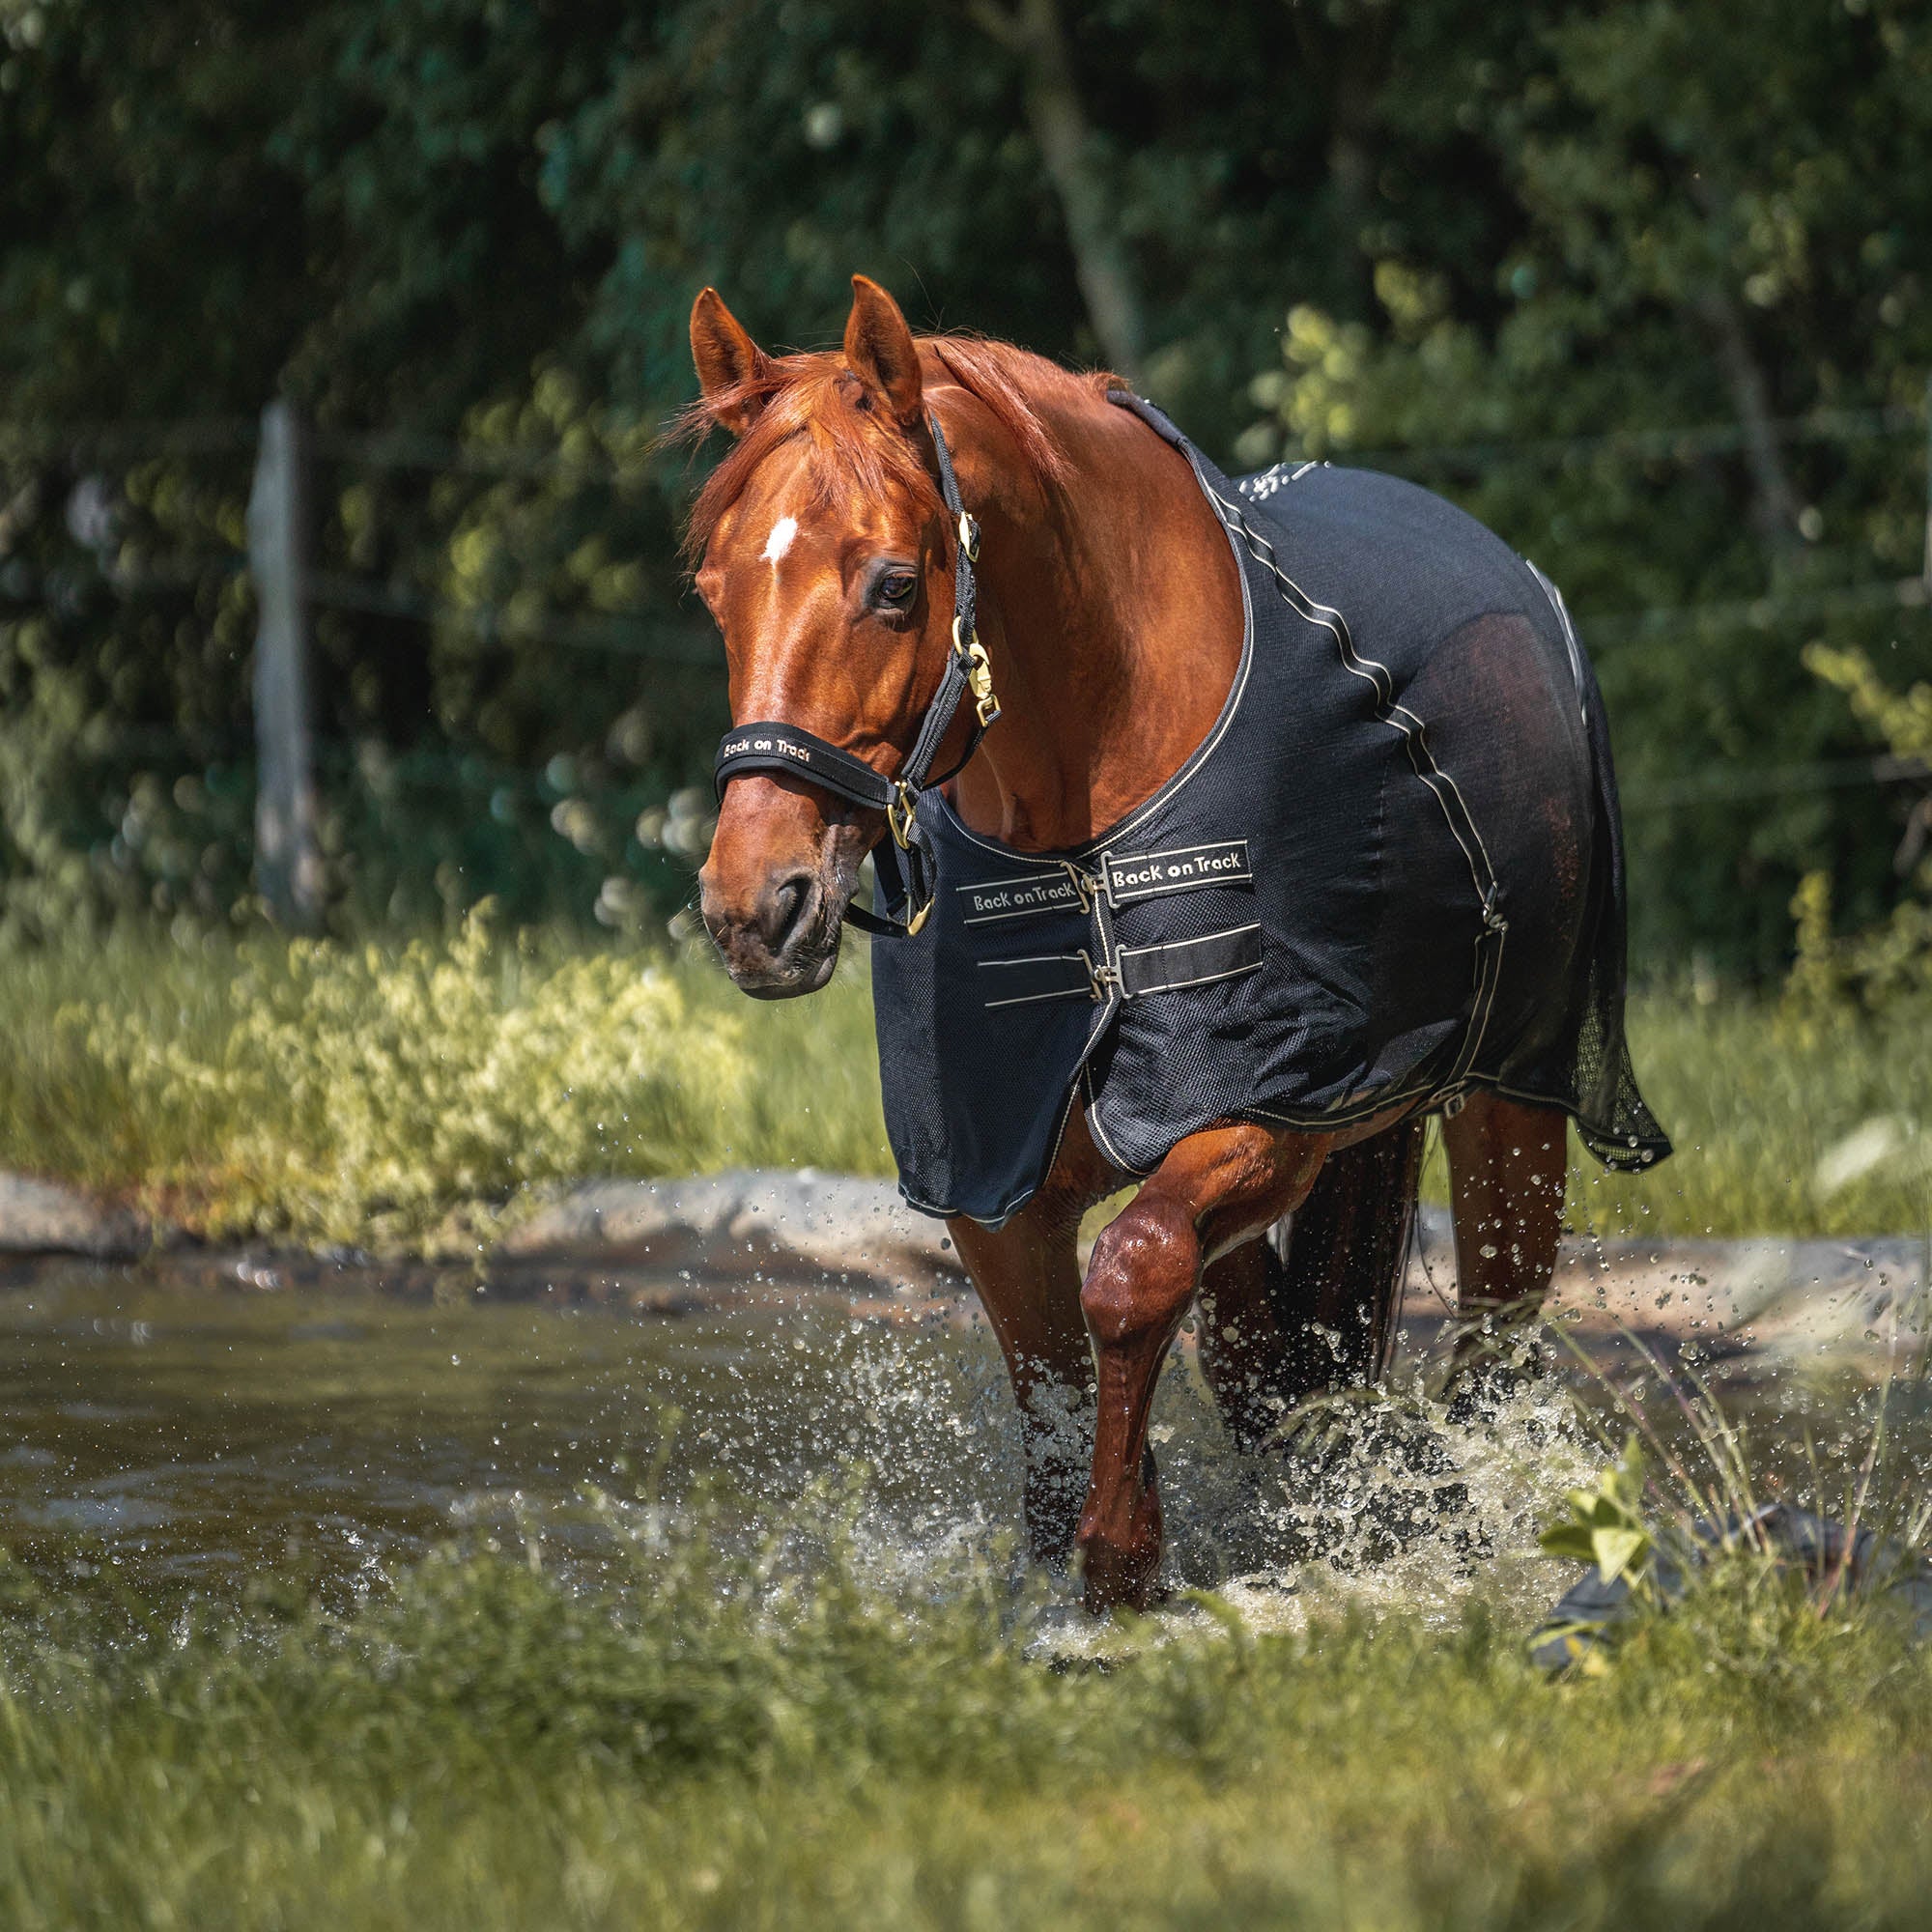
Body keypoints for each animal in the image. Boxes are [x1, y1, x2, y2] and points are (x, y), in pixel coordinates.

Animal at [685, 274, 1668, 1614]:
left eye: (893, 584)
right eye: (713, 590)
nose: (756, 905)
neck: (1090, 821)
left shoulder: (1264, 1115)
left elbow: (1134, 1268)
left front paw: (1122, 1561)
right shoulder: (992, 1185)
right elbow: (1057, 1387)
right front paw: (1072, 1566)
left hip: (1512, 1102)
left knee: (1490, 1346)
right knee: (1262, 1361)